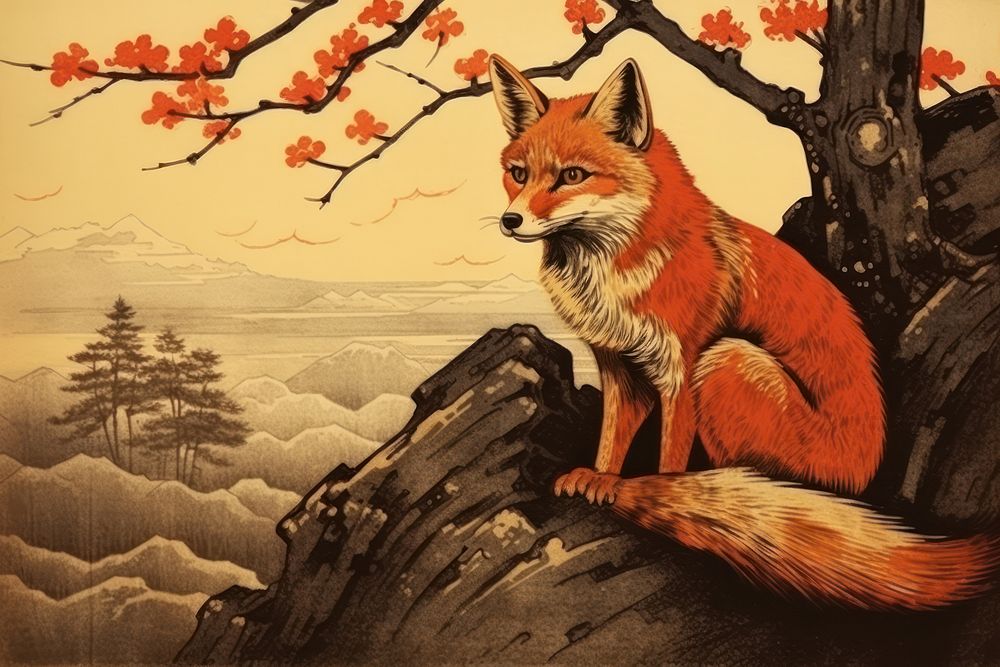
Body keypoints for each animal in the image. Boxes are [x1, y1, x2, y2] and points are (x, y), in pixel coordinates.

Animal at [487, 54, 997, 611]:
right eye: (518, 174)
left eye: (573, 176)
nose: (510, 220)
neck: (610, 274)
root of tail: (863, 478)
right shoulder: (621, 364)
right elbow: (611, 436)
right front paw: (600, 477)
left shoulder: (683, 365)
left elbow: (670, 459)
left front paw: (650, 488)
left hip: (726, 360)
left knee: (743, 479)